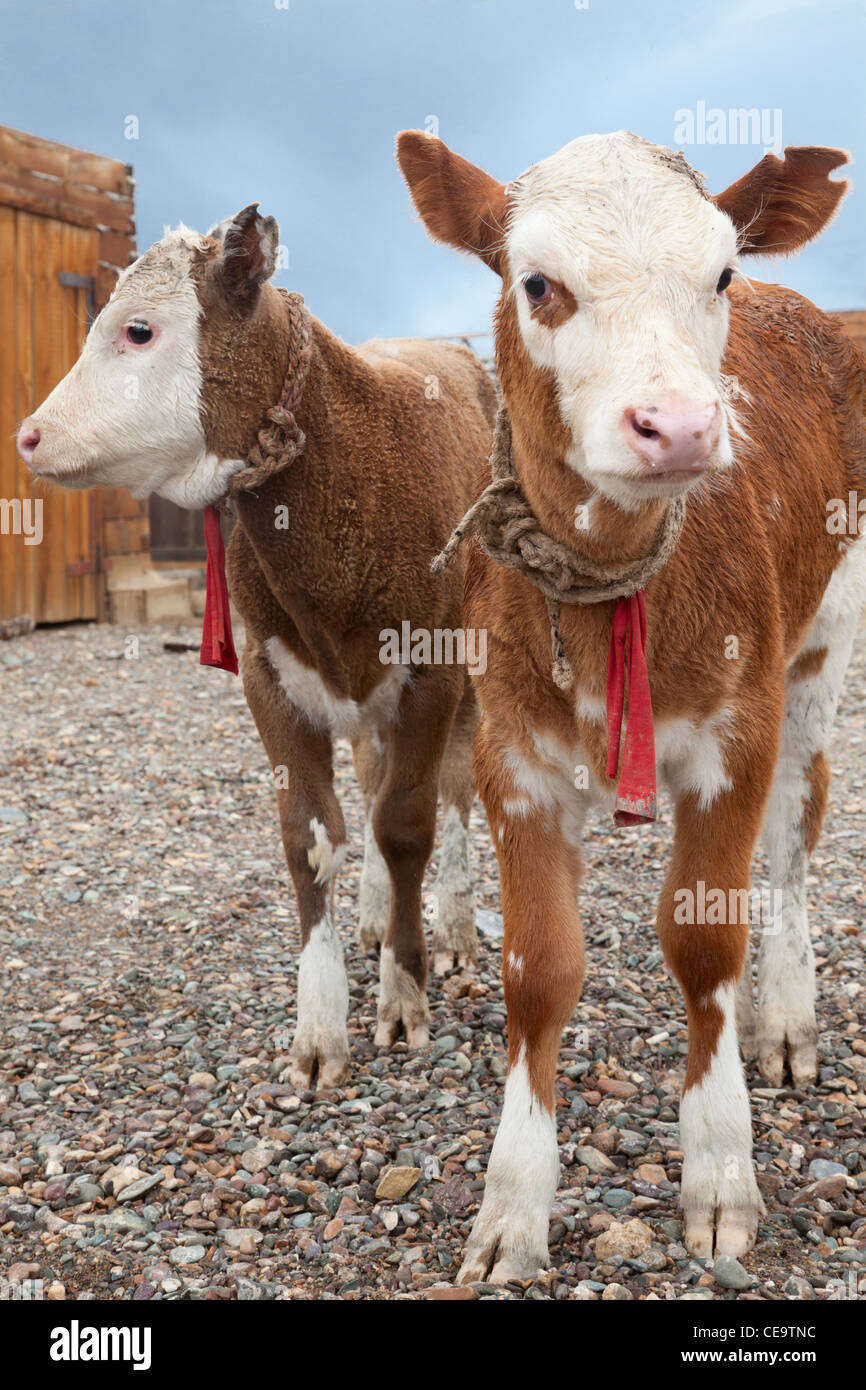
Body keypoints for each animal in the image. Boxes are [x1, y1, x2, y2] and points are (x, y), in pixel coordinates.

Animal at [17, 204, 496, 1090]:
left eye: (139, 329)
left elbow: (407, 824)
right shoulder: (268, 682)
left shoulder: (432, 672)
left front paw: (403, 996)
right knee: (372, 778)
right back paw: (376, 911)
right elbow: (309, 838)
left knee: (450, 790)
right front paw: (319, 1029)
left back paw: (450, 926)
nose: (30, 437)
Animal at [397, 129, 865, 1282]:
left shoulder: (735, 736)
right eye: (537, 283)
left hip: (820, 641)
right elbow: (539, 970)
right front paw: (511, 1202)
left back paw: (784, 1019)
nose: (681, 426)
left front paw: (720, 1173)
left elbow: (704, 945)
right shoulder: (513, 757)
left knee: (797, 827)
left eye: (721, 275)